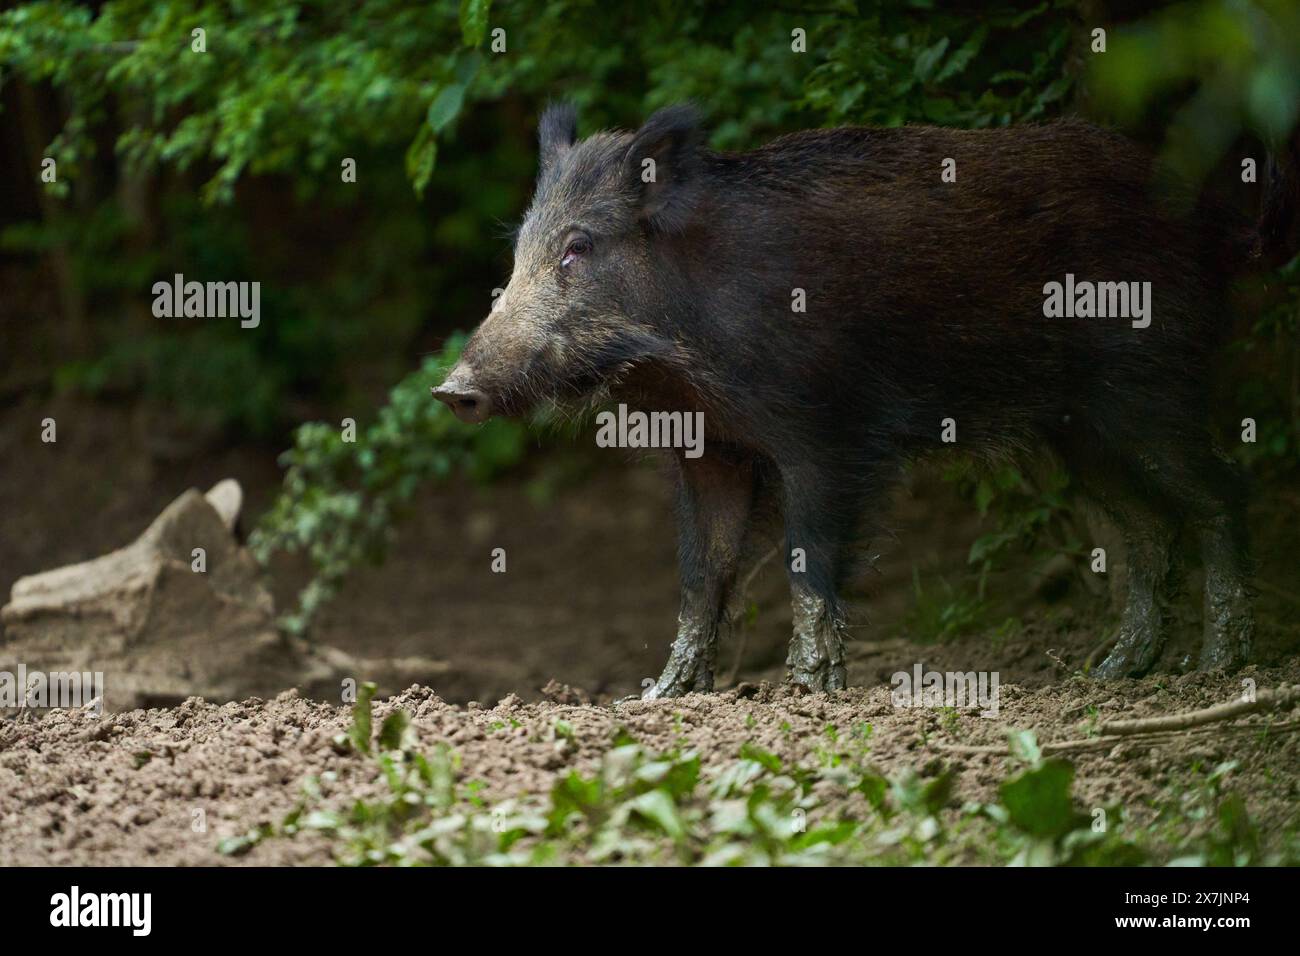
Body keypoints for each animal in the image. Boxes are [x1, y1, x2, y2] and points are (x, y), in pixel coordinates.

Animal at [434, 102, 1297, 697]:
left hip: (1148, 389)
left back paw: (1216, 667)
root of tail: (1210, 226)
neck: (685, 354)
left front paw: (807, 692)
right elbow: (701, 575)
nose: (451, 390)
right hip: (1079, 432)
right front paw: (659, 697)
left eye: (577, 247)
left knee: (1223, 492)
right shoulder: (711, 449)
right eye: (518, 249)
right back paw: (1112, 672)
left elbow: (809, 561)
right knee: (1148, 530)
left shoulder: (826, 432)